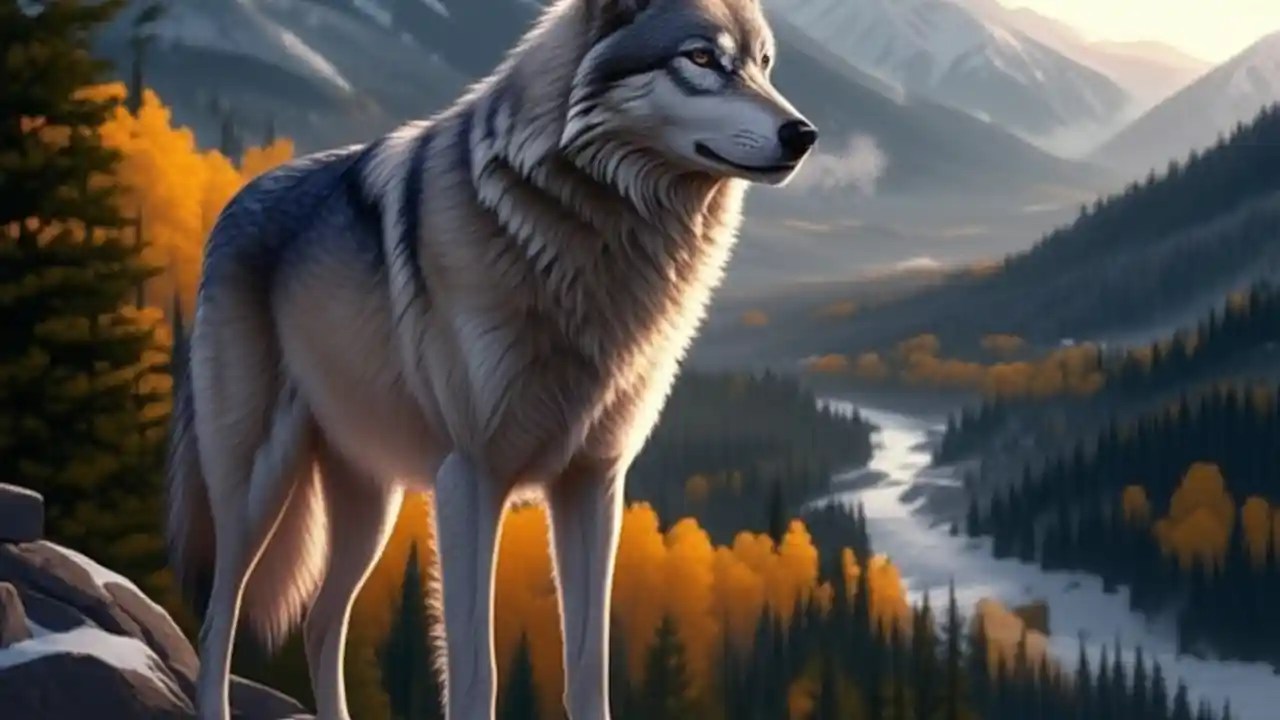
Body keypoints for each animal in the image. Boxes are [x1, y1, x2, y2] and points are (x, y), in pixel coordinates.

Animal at [166, 0, 816, 718]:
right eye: (702, 58)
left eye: (764, 65)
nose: (804, 134)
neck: (589, 233)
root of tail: (230, 205)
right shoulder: (471, 480)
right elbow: (478, 671)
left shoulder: (593, 481)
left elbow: (588, 668)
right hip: (255, 486)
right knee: (218, 612)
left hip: (372, 505)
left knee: (318, 619)